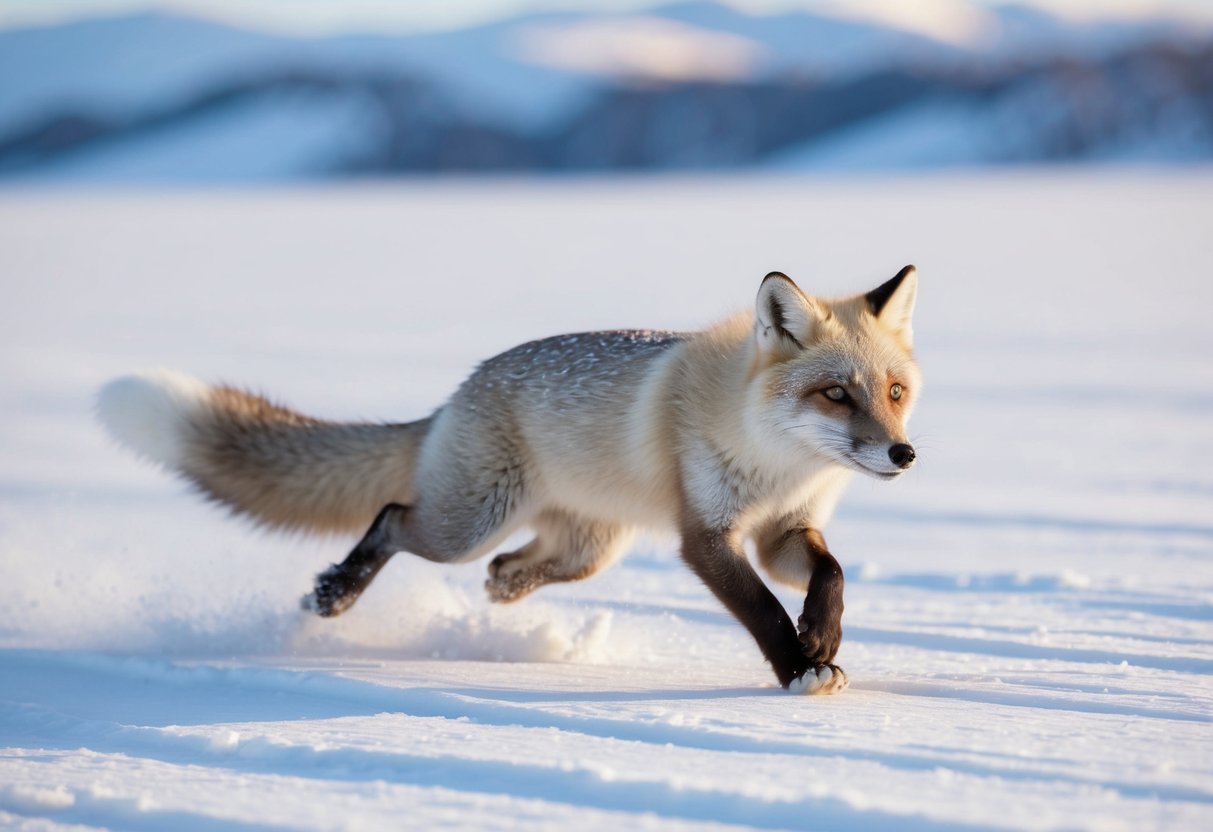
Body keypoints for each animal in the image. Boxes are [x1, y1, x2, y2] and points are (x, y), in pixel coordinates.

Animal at [98, 266, 920, 694]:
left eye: (893, 392)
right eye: (835, 395)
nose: (901, 455)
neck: (775, 462)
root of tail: (458, 390)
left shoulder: (784, 529)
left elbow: (830, 573)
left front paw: (821, 636)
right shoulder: (706, 533)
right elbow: (759, 610)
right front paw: (798, 668)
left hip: (590, 547)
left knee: (511, 566)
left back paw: (504, 592)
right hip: (466, 522)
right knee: (393, 517)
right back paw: (335, 593)